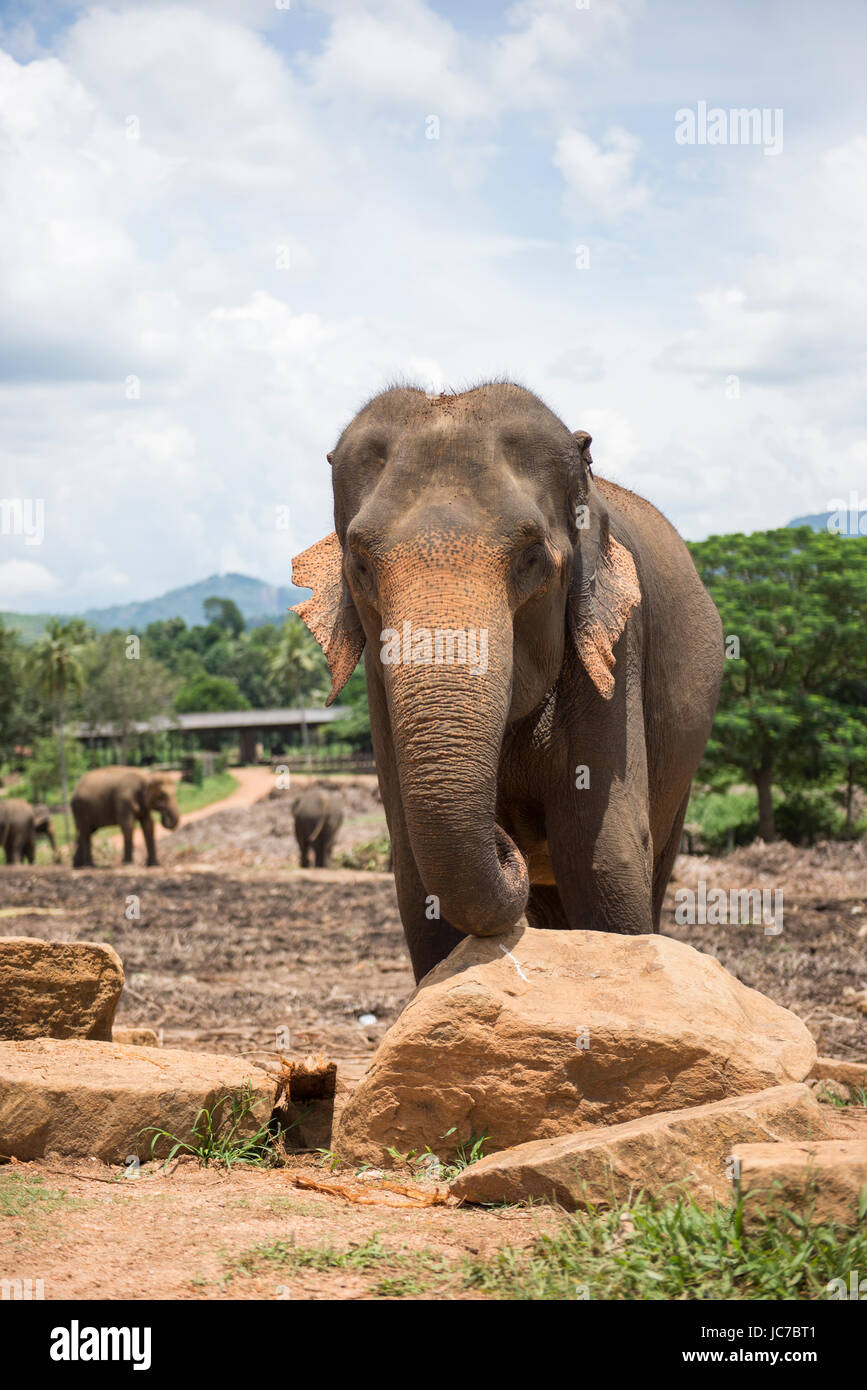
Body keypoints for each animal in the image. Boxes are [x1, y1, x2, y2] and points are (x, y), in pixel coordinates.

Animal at [292, 383, 723, 983]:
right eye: (359, 566)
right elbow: (417, 880)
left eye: (532, 557)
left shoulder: (617, 647)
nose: (504, 839)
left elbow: (602, 857)